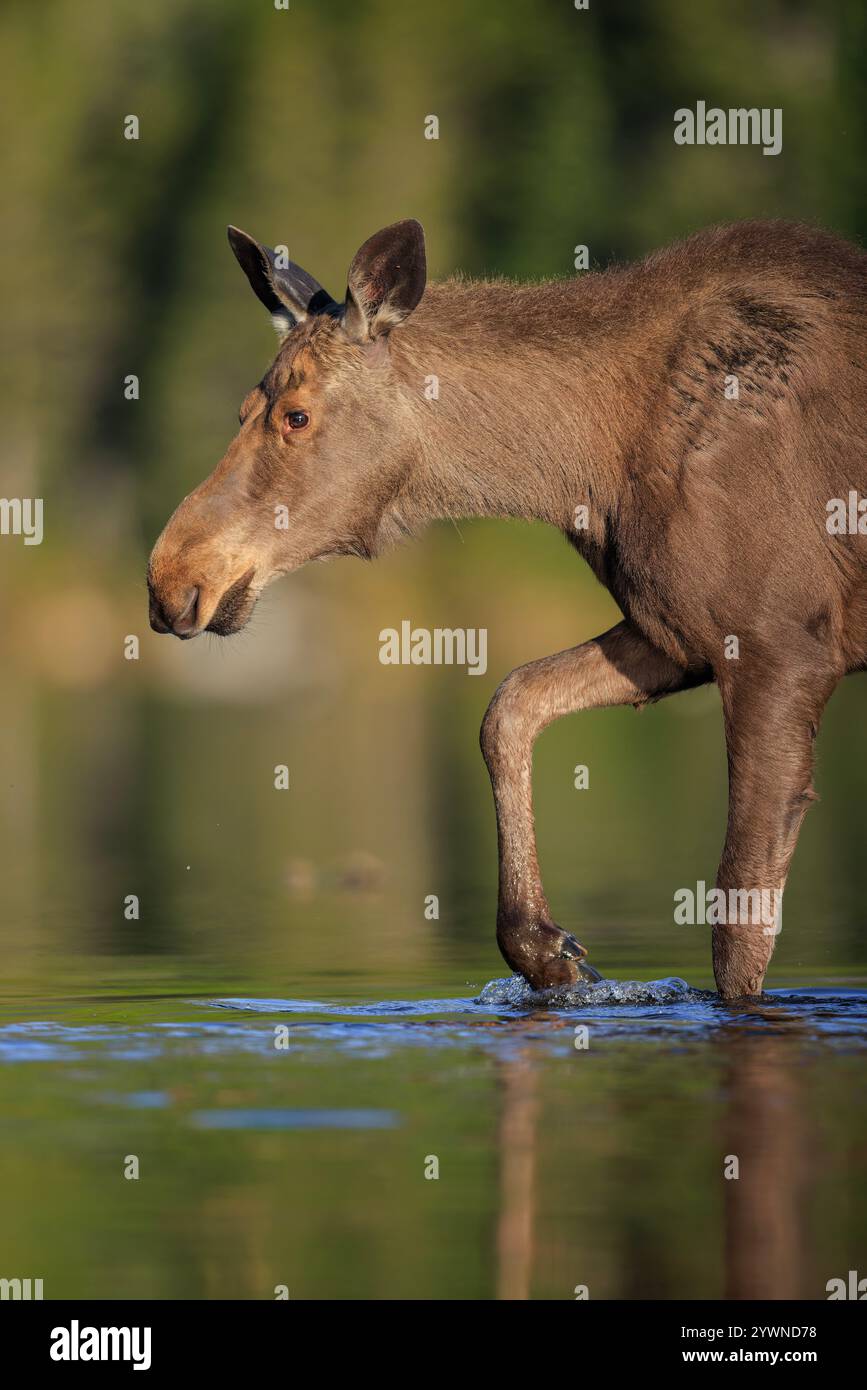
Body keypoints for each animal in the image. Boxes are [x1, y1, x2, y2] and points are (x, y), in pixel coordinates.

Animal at [148, 216, 867, 999]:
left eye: (296, 416)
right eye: (242, 410)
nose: (170, 576)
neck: (579, 472)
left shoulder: (779, 646)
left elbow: (738, 929)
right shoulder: (675, 635)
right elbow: (509, 703)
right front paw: (544, 946)